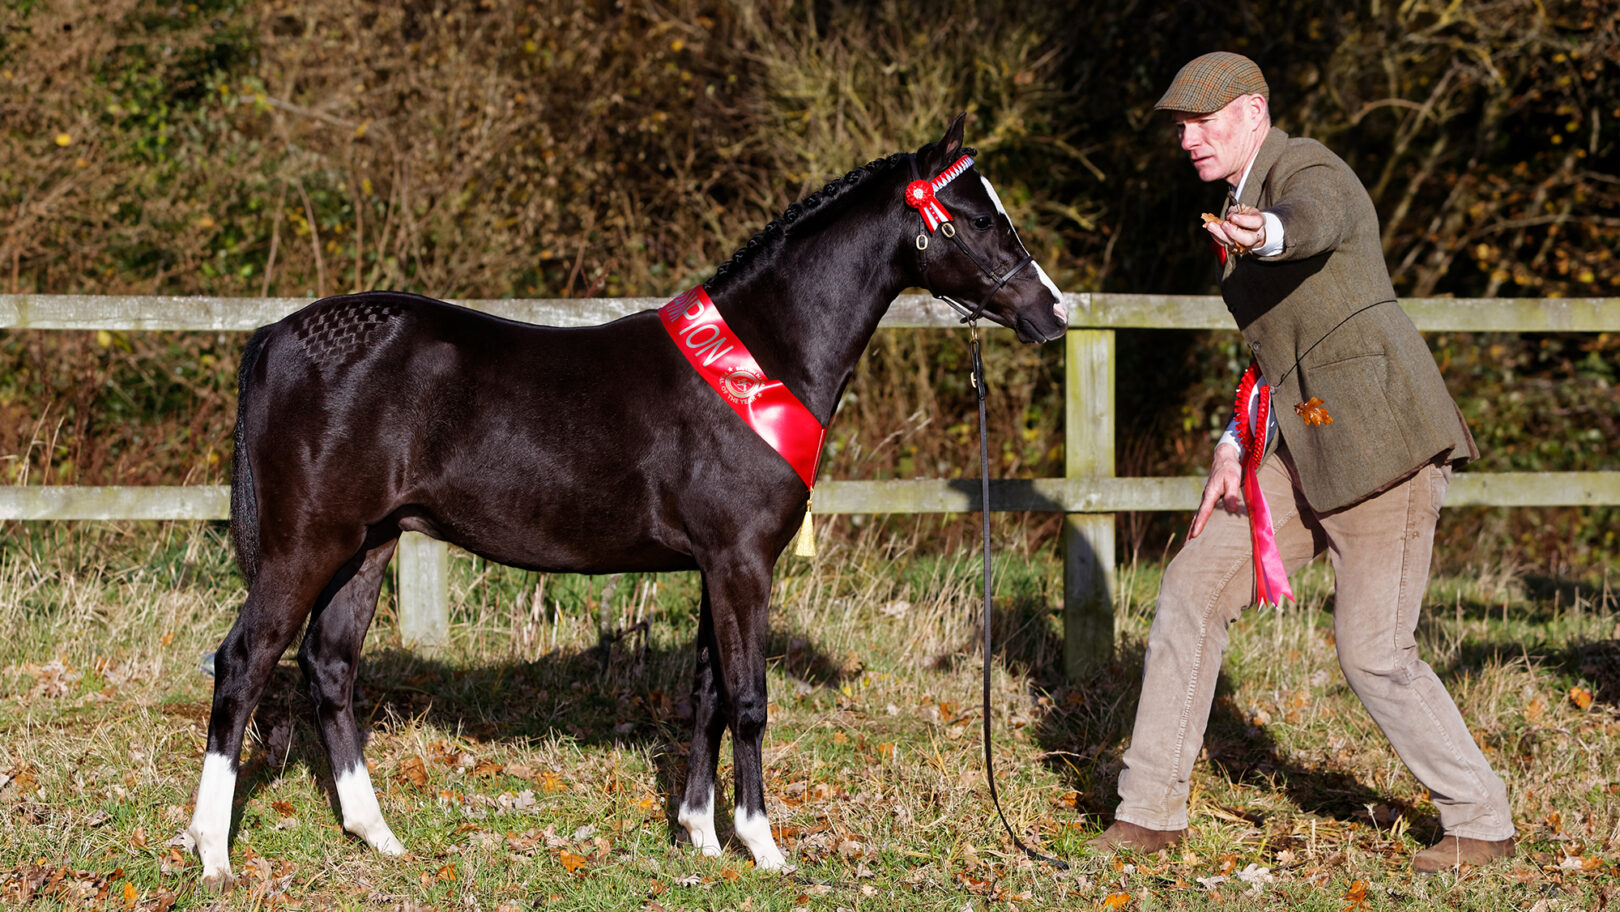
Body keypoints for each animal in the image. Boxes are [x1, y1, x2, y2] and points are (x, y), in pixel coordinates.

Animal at [182, 114, 1066, 890]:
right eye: (977, 216)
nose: (1053, 311)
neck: (761, 355)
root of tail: (278, 336)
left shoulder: (713, 566)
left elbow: (707, 696)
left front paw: (700, 836)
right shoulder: (743, 563)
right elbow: (749, 700)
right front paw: (763, 847)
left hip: (367, 545)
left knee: (330, 666)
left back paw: (379, 837)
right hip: (308, 543)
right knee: (244, 661)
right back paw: (215, 854)